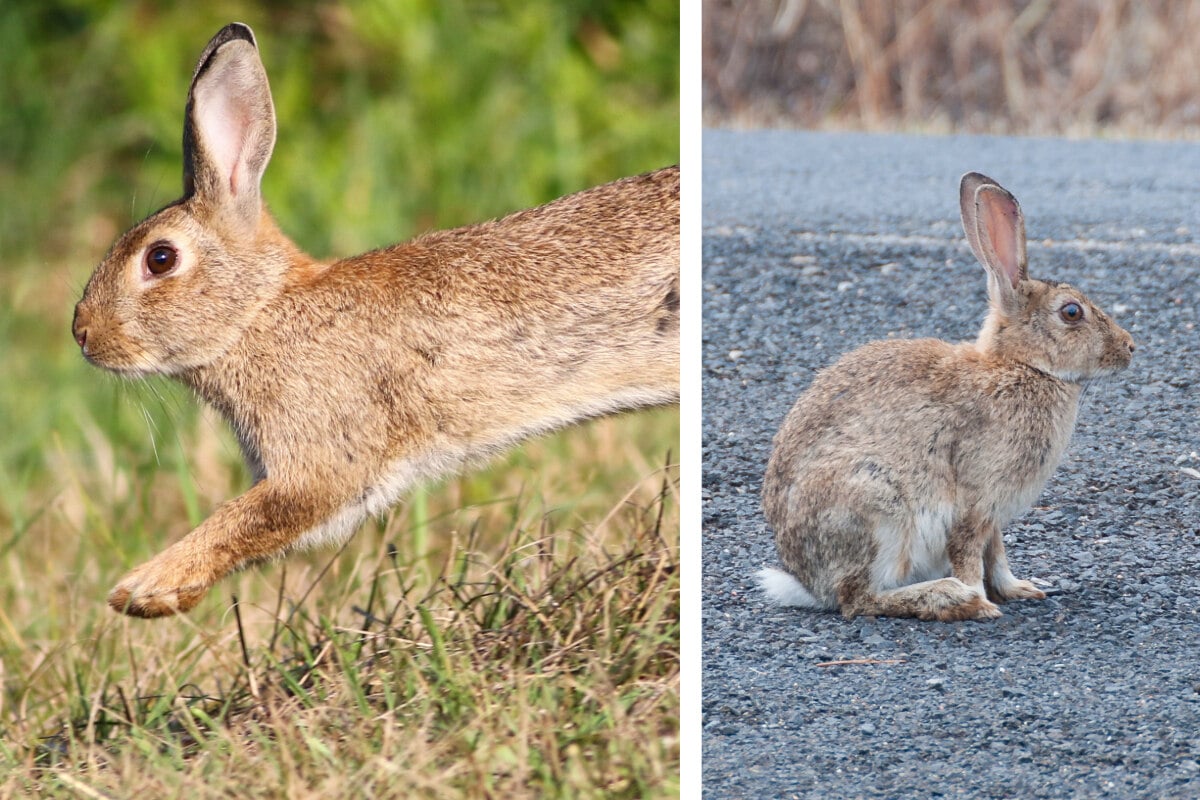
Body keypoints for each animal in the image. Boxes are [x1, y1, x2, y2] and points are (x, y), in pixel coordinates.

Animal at [71, 23, 679, 618]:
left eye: (160, 259)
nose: (82, 334)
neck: (260, 312)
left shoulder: (324, 453)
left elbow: (258, 514)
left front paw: (146, 589)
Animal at [758, 172, 1133, 622]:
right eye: (1072, 312)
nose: (1130, 347)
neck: (1021, 366)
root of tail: (807, 583)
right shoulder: (975, 499)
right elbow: (969, 551)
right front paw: (982, 601)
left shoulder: (994, 513)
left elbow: (996, 552)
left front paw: (1019, 589)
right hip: (877, 505)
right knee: (858, 599)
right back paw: (951, 598)